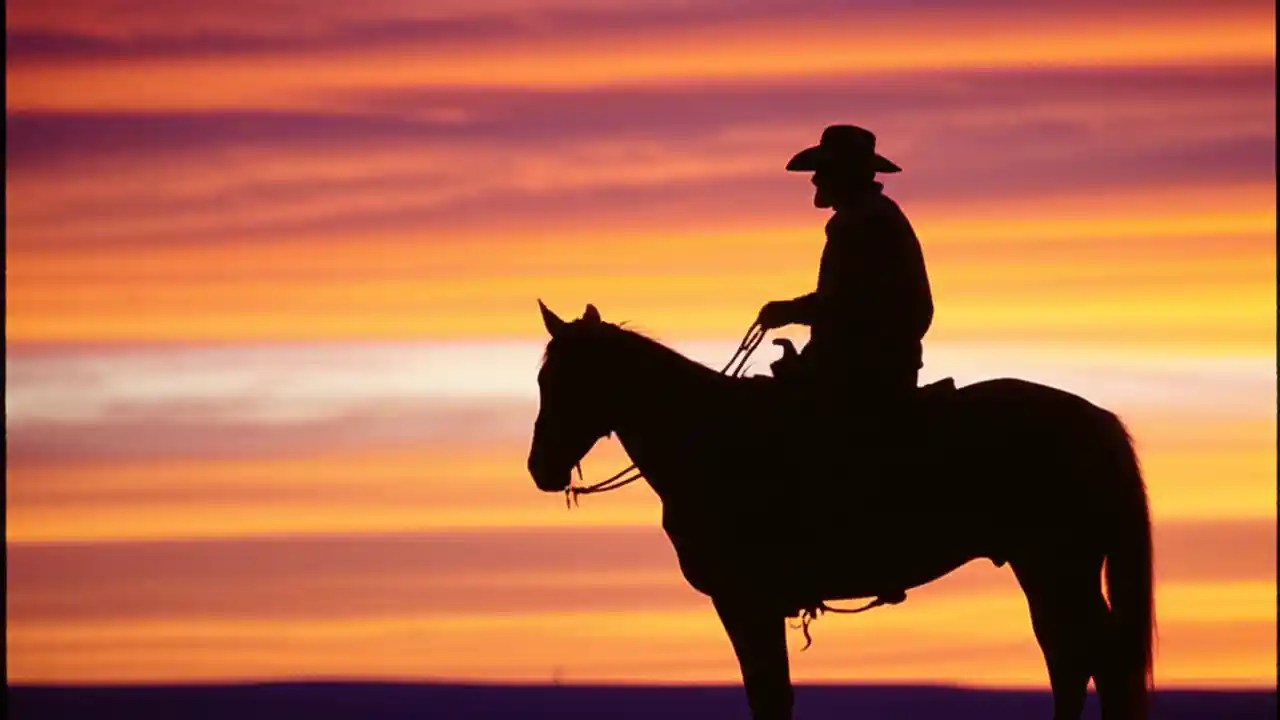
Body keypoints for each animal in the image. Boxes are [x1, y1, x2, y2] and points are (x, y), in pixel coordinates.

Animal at [527, 302, 1155, 720]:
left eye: (567, 380)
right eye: (540, 378)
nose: (540, 468)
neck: (705, 437)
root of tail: (1098, 422)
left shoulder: (745, 599)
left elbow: (768, 694)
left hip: (1057, 568)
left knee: (1092, 660)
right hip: (1050, 571)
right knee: (1075, 658)